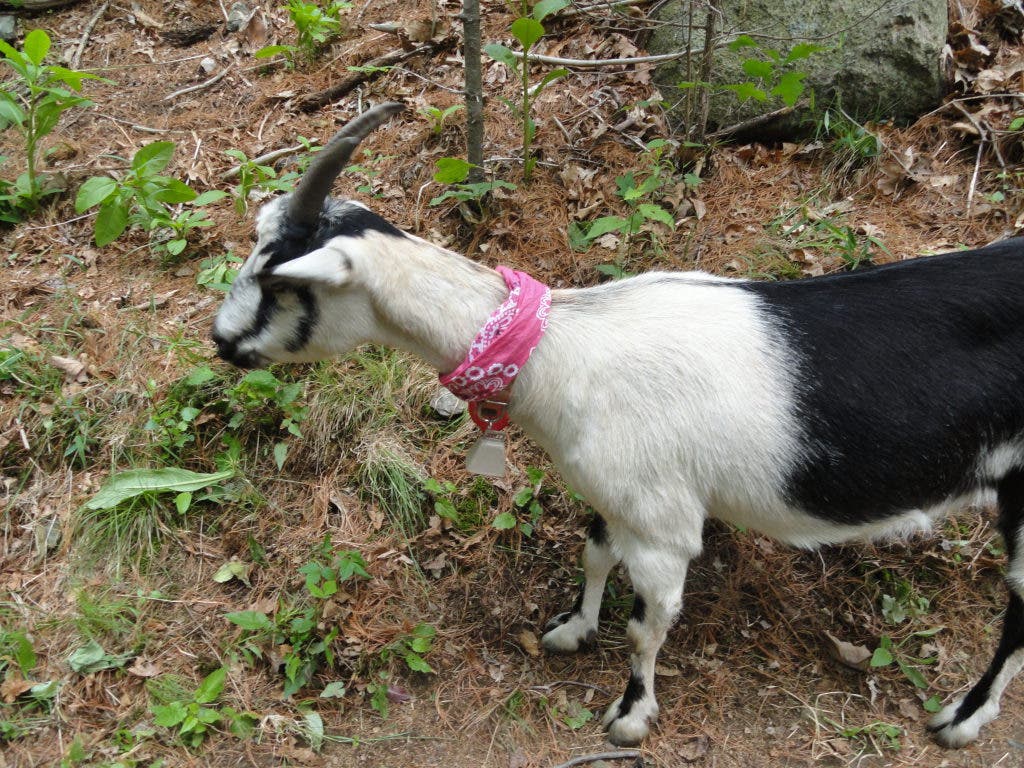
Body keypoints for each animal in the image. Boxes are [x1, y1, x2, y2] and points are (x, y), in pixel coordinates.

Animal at [212, 102, 1024, 748]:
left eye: (283, 282)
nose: (221, 341)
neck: (567, 351)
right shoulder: (614, 494)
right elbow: (594, 551)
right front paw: (572, 630)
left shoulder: (663, 525)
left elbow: (646, 625)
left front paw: (630, 717)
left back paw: (960, 719)